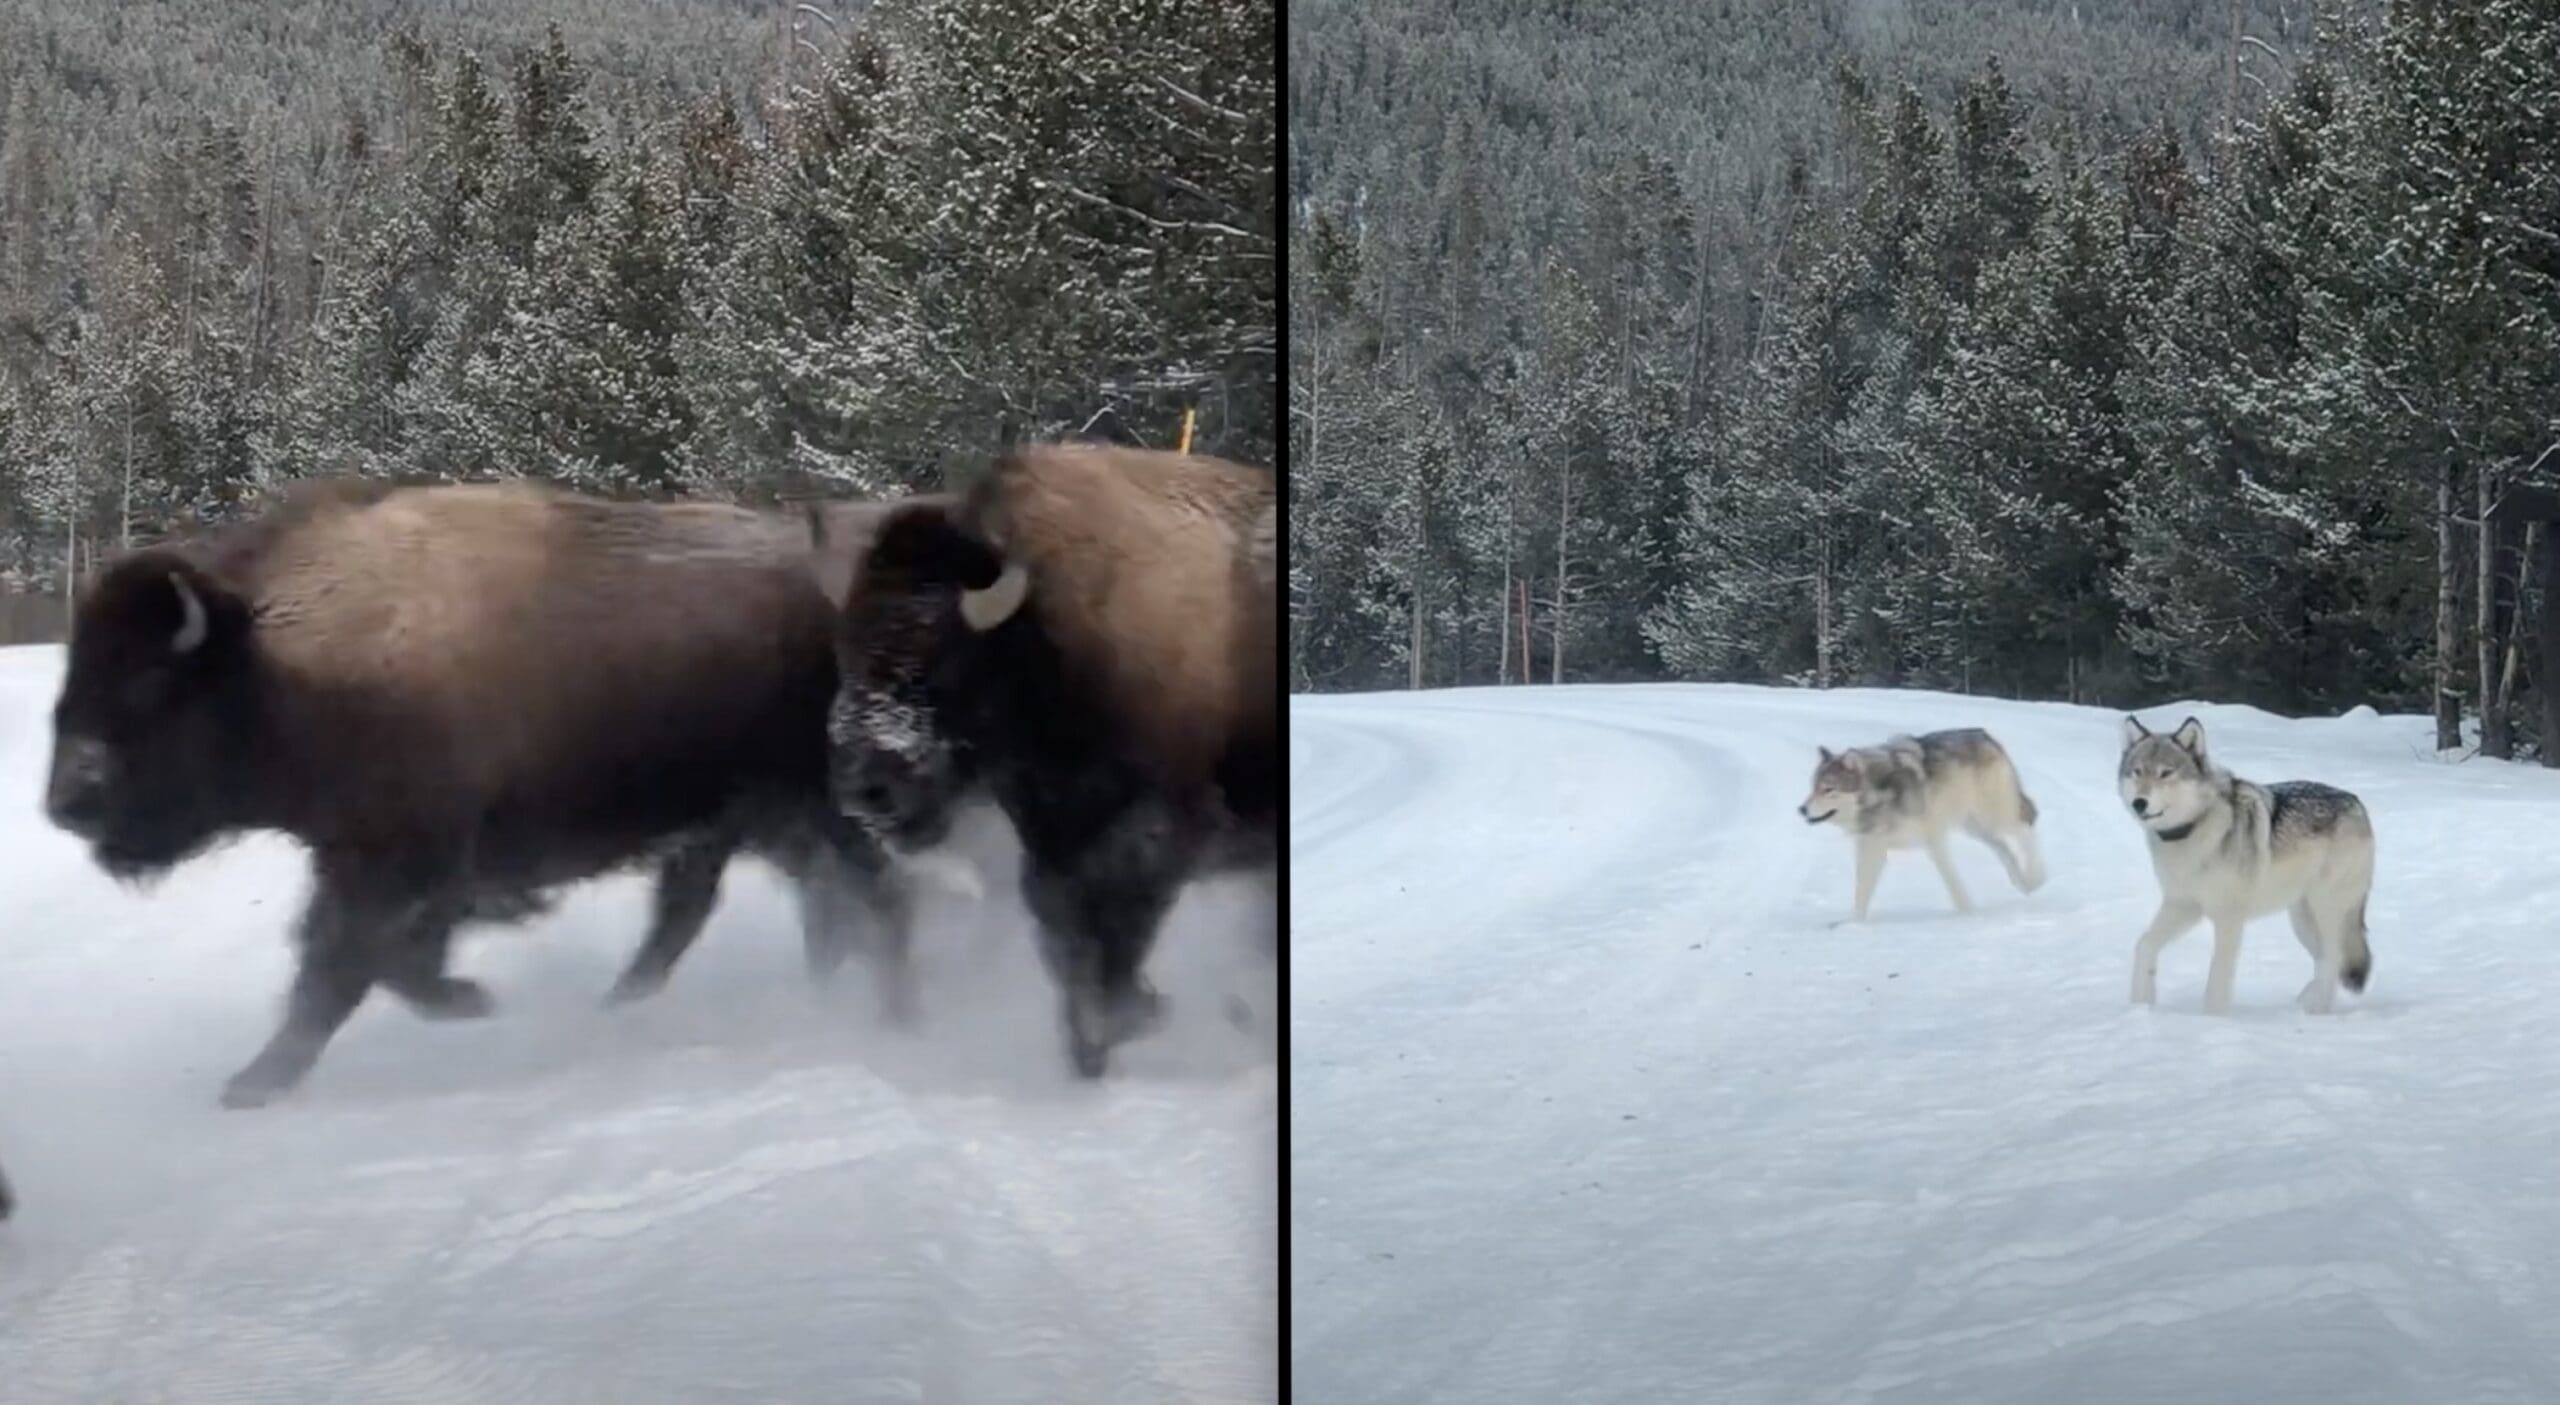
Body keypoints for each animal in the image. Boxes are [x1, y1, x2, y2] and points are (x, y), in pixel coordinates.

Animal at [43, 478, 929, 1108]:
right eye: (76, 670)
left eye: (149, 680)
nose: (66, 800)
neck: (281, 656)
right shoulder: (394, 867)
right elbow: (370, 961)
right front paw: (469, 999)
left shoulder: (397, 864)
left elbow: (340, 968)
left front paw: (253, 1083)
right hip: (749, 821)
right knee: (733, 910)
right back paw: (634, 1004)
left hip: (806, 808)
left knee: (870, 898)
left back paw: (888, 1017)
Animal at [808, 443, 1276, 1077]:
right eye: (846, 650)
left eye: (936, 658)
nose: (866, 788)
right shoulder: (1054, 847)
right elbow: (1065, 942)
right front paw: (1090, 1048)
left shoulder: (1156, 841)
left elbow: (1115, 944)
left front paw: (1133, 1017)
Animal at [1797, 727, 2048, 923]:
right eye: (1813, 787)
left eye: (1828, 789)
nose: (1801, 810)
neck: (1879, 795)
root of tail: (1985, 735)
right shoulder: (1871, 849)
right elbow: (1861, 893)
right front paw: (1853, 925)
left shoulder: (1934, 841)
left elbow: (1952, 882)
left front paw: (1968, 913)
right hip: (1977, 828)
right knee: (2004, 848)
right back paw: (2023, 883)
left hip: (1994, 815)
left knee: (2028, 821)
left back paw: (2036, 878)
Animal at [2117, 715, 2375, 1015]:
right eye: (2137, 772)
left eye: (2166, 773)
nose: (2139, 803)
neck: (2194, 830)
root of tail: (2357, 802)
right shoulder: (2184, 905)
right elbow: (2144, 944)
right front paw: (2140, 1003)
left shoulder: (2228, 918)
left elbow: (2218, 977)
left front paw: (2213, 1019)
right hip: (2302, 919)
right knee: (2325, 960)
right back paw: (2305, 1002)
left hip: (2326, 910)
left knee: (2334, 958)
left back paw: (2316, 1009)